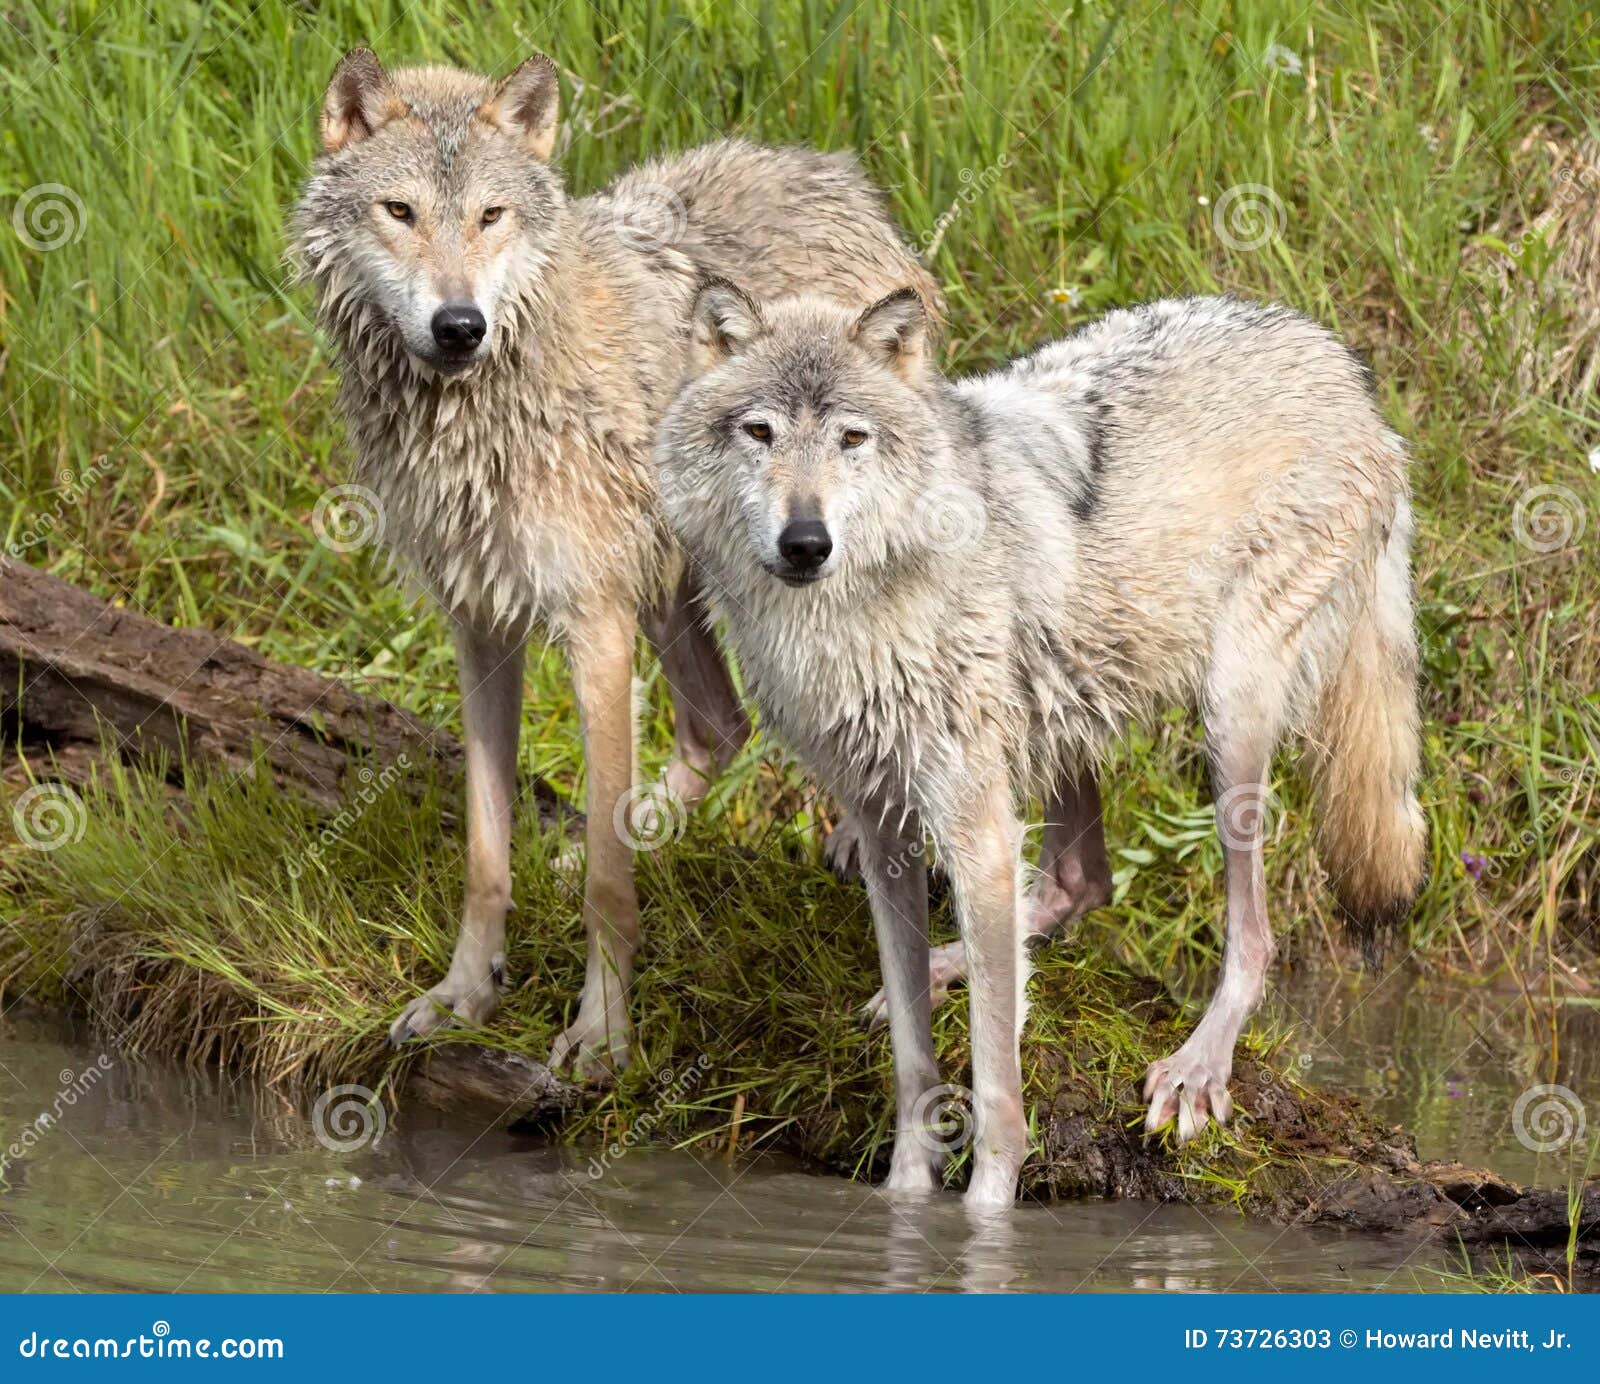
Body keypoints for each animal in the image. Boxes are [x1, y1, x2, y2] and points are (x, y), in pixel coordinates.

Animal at [292, 50, 938, 1076]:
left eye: (490, 216)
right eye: (400, 211)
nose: (460, 324)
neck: (487, 402)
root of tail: (826, 168)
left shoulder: (592, 628)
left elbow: (608, 886)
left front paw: (602, 1037)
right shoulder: (480, 624)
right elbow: (486, 854)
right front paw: (465, 994)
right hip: (671, 587)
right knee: (720, 725)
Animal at [654, 285, 1427, 1204]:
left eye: (851, 438)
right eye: (760, 431)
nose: (805, 542)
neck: (855, 617)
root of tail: (1339, 362)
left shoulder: (975, 827)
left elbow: (997, 1084)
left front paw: (990, 1211)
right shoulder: (881, 826)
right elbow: (913, 1058)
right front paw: (905, 1194)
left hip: (1228, 713)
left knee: (1252, 937)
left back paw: (1197, 1067)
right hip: (1062, 704)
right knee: (1080, 880)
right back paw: (955, 962)